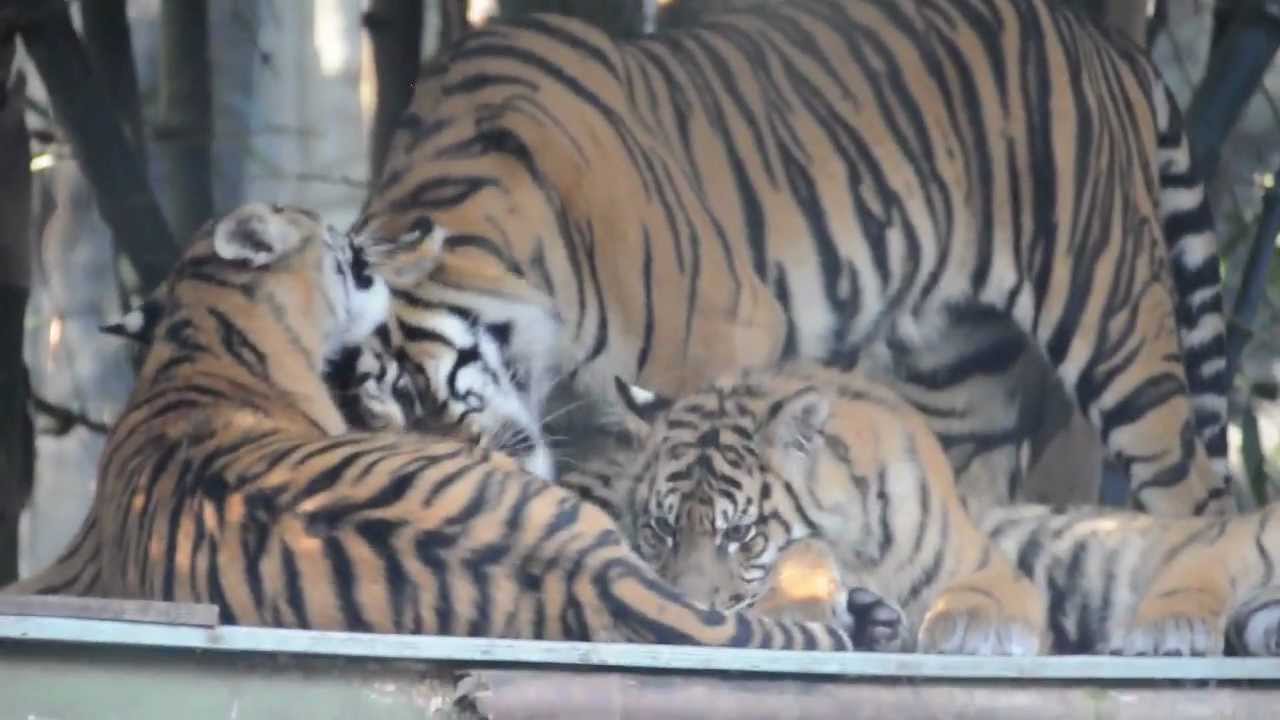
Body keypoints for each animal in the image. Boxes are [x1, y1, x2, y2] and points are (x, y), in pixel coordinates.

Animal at [351, 0, 1233, 517]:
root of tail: (1107, 40)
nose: (470, 478)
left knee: (1192, 489)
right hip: (961, 366)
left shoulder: (710, 343)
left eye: (418, 391)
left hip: (1111, 316)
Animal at [606, 366, 1280, 656]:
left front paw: (974, 625)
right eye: (660, 530)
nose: (692, 606)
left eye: (741, 533)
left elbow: (980, 595)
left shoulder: (994, 570)